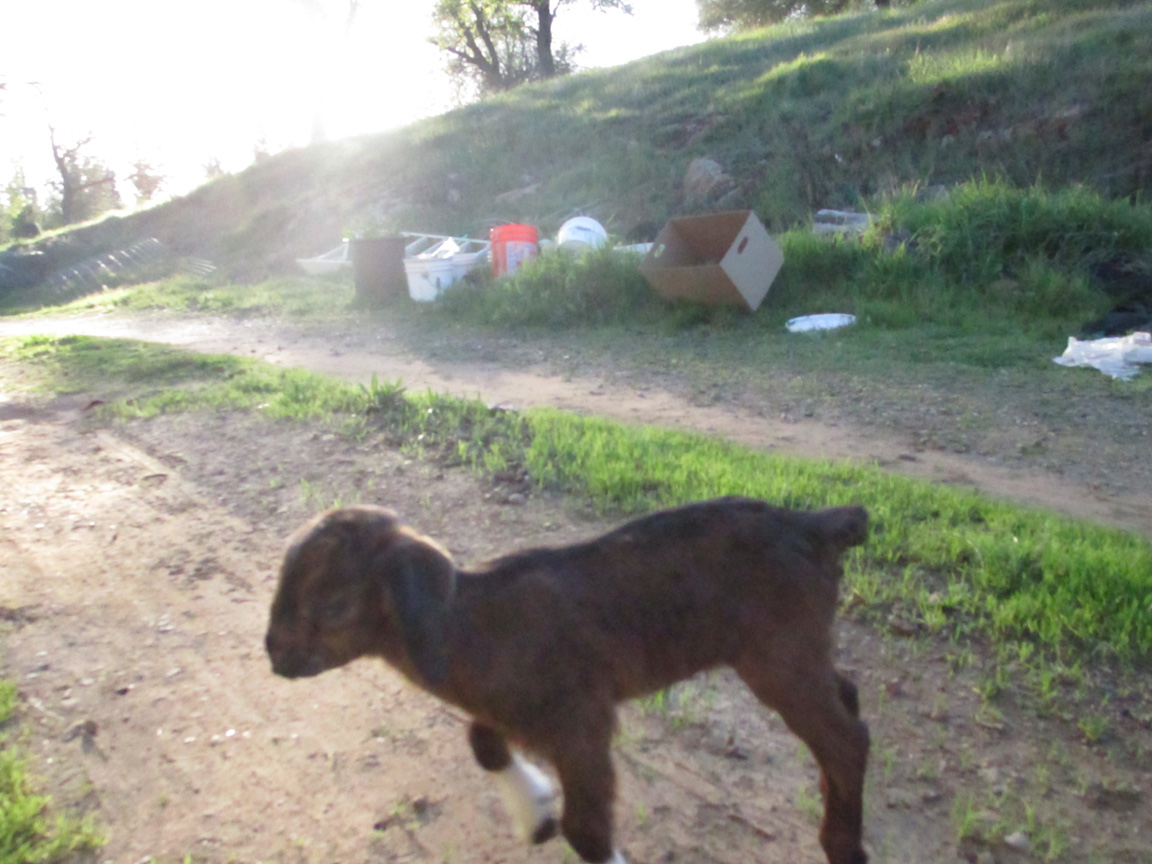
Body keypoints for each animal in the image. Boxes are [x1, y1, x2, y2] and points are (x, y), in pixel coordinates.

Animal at [265, 496, 870, 864]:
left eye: (334, 603)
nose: (273, 654)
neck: (469, 627)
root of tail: (816, 524)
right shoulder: (514, 710)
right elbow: (482, 742)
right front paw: (535, 816)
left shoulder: (582, 721)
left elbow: (588, 828)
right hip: (802, 650)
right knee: (847, 701)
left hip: (778, 656)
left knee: (846, 740)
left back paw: (843, 845)